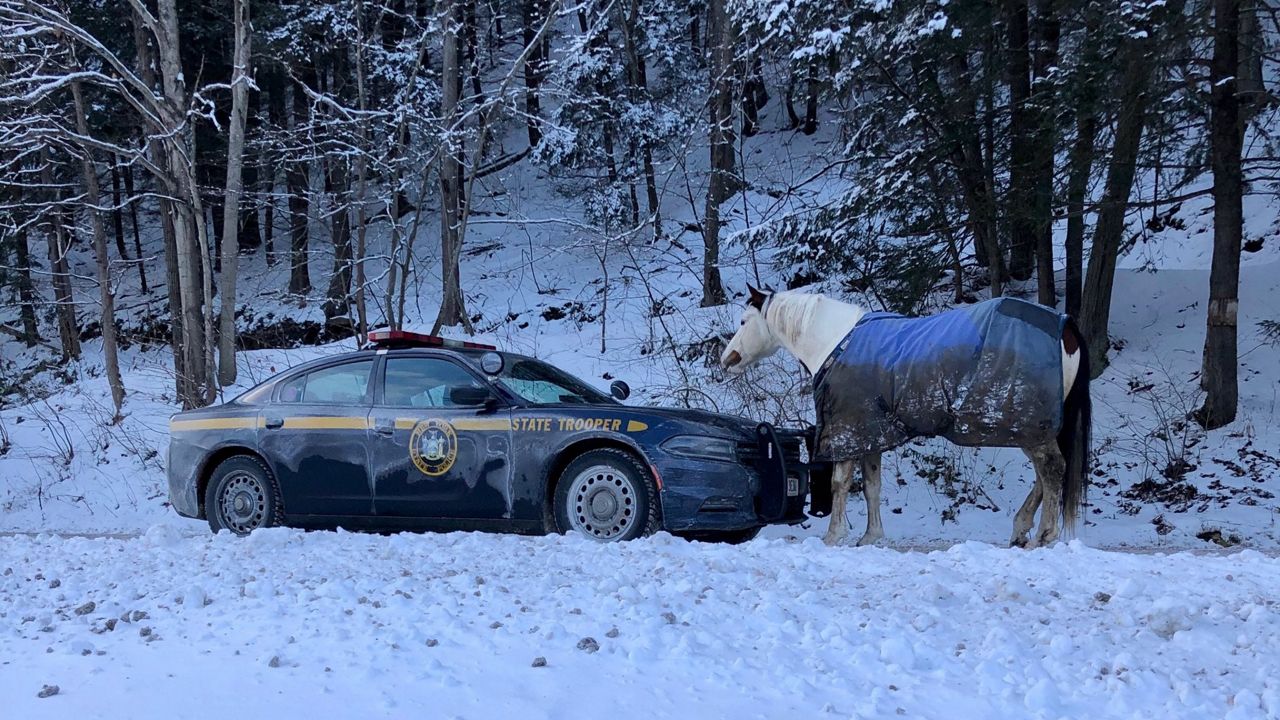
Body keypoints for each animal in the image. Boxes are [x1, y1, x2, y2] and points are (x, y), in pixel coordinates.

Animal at [720, 286, 1091, 548]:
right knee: (1044, 477)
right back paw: (1021, 530)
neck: (836, 342)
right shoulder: (868, 433)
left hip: (1029, 426)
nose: (727, 359)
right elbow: (872, 486)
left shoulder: (847, 430)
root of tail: (1066, 326)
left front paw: (834, 536)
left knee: (1052, 471)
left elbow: (840, 484)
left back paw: (1044, 535)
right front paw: (871, 536)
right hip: (1032, 429)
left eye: (743, 322)